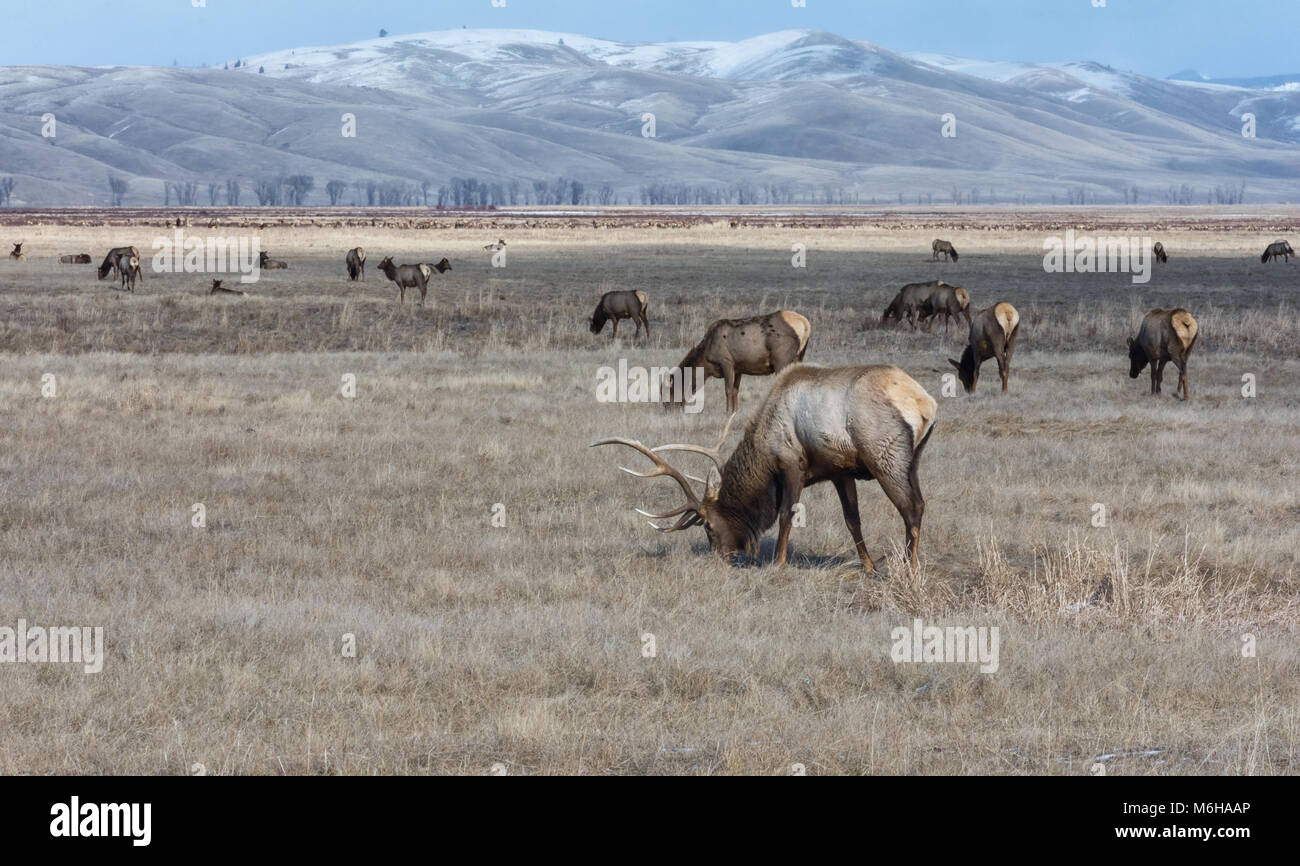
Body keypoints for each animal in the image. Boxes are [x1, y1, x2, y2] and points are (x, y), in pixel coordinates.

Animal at [593, 363, 937, 575]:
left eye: (708, 526)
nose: (721, 558)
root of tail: (925, 403)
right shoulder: (840, 471)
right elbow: (853, 520)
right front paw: (868, 567)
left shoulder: (792, 463)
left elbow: (785, 514)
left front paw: (778, 563)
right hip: (913, 459)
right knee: (920, 504)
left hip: (885, 456)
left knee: (911, 509)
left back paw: (910, 569)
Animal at [662, 311, 811, 413]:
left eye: (667, 392)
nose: (668, 410)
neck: (705, 361)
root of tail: (805, 325)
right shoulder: (739, 368)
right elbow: (735, 390)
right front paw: (735, 411)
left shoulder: (726, 362)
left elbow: (728, 390)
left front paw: (727, 412)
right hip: (798, 358)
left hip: (781, 360)